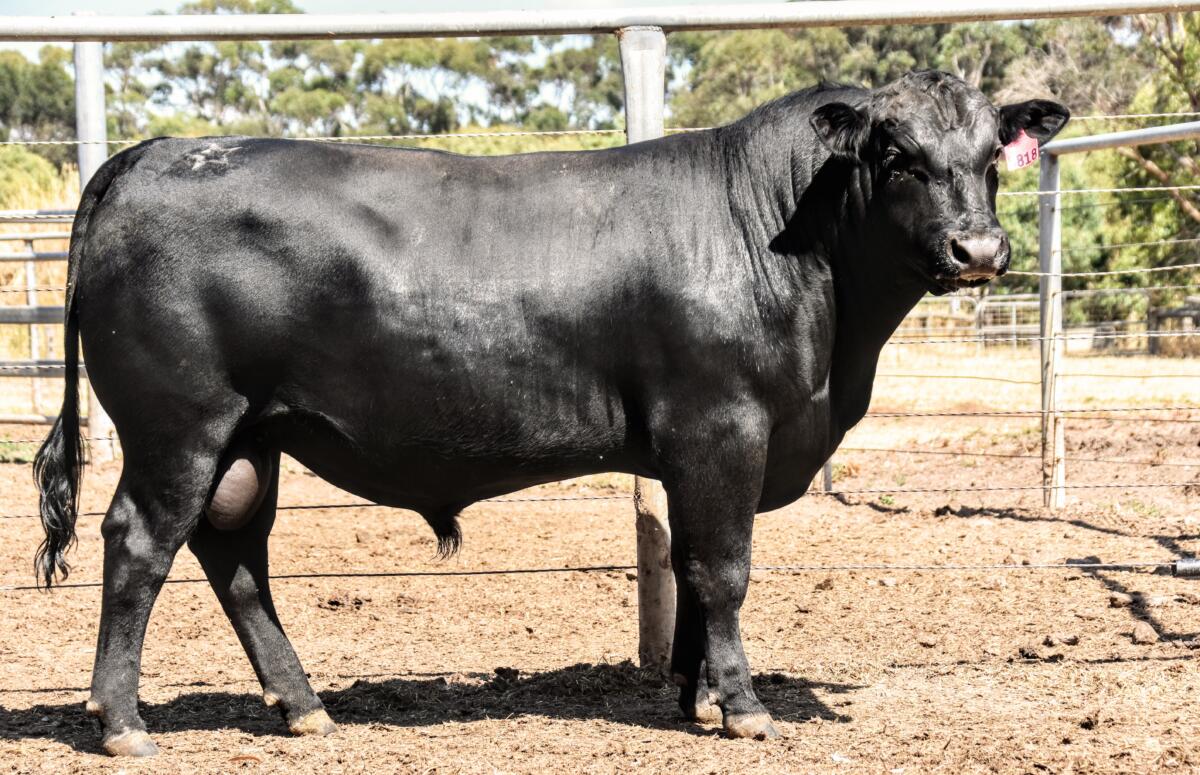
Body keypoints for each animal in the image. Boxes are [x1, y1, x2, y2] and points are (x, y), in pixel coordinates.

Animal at [33, 70, 1068, 756]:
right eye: (897, 155)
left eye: (992, 158)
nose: (979, 250)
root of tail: (156, 151)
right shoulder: (722, 425)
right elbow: (723, 570)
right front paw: (742, 705)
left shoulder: (692, 451)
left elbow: (689, 570)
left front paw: (694, 695)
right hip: (179, 426)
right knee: (140, 543)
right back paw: (122, 721)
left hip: (250, 436)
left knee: (235, 553)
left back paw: (304, 705)